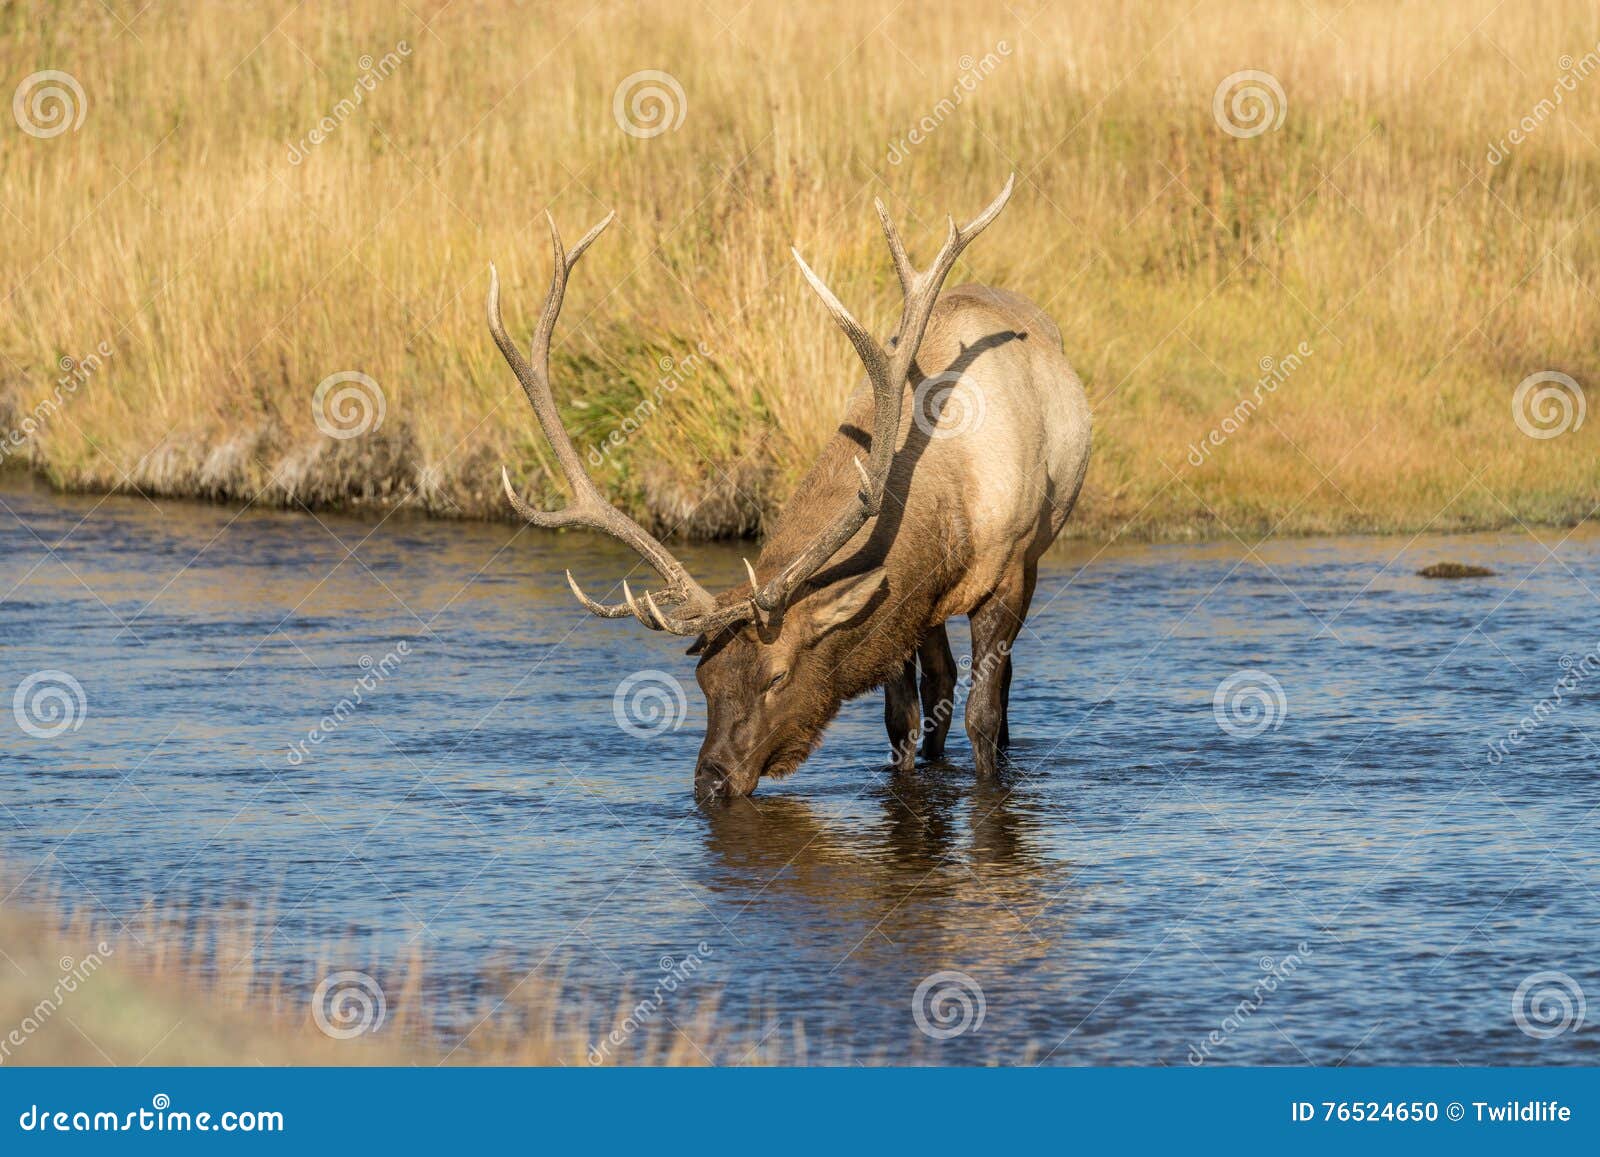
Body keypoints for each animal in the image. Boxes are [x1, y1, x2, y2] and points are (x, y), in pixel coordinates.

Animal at [488, 175, 1091, 801]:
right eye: (703, 678)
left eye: (776, 676)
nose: (711, 781)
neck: (952, 502)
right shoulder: (903, 603)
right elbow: (900, 721)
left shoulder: (1009, 567)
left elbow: (983, 715)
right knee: (942, 684)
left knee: (997, 689)